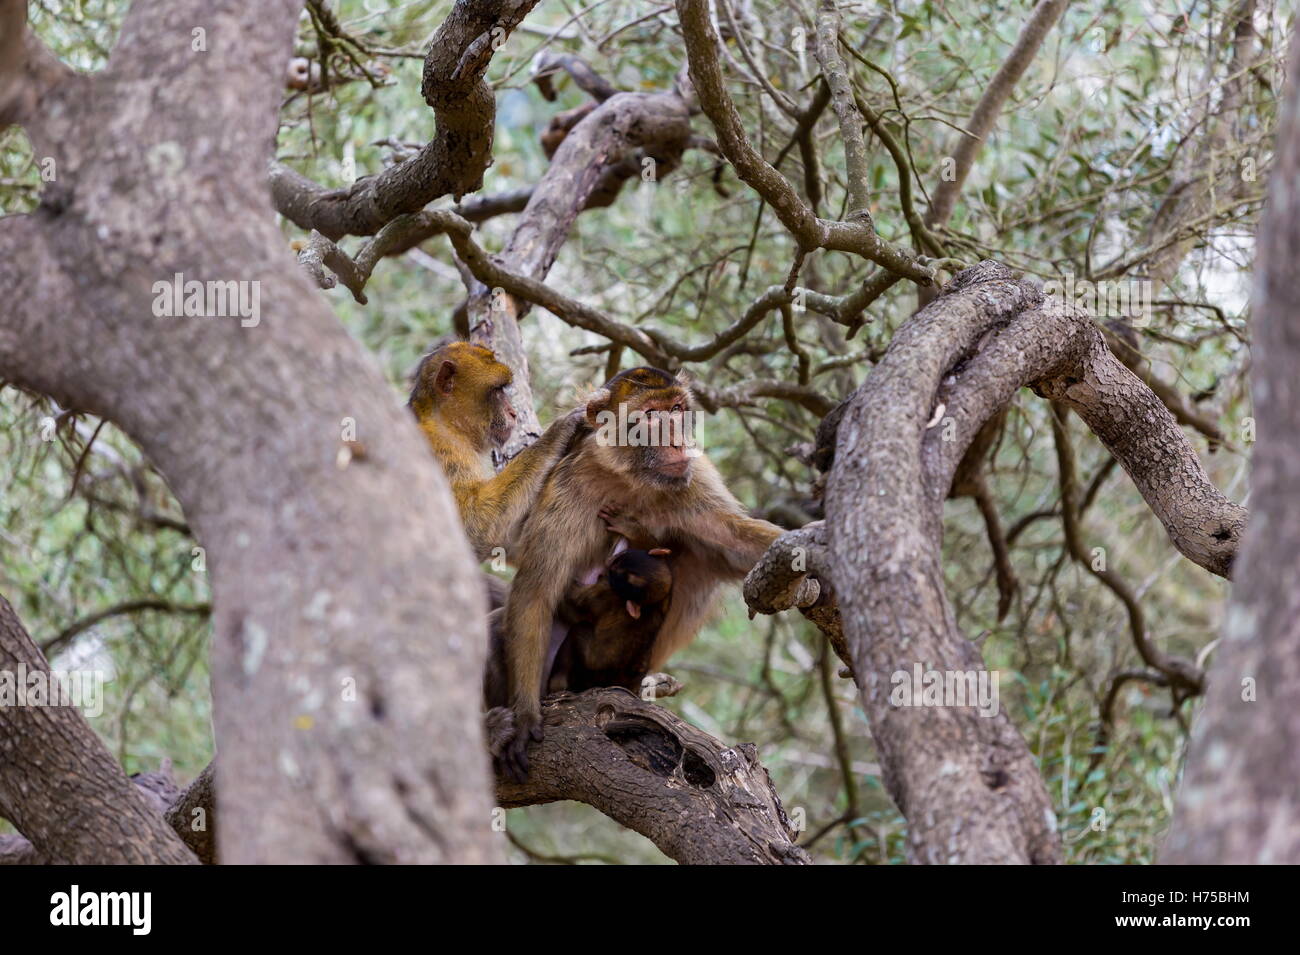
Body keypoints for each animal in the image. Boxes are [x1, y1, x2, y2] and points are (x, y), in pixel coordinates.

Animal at [408, 341, 582, 561]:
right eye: (498, 390)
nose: (513, 413)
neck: (447, 424)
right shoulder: (442, 450)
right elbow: (471, 526)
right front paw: (556, 433)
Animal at [497, 366, 788, 780]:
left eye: (677, 409)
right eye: (651, 415)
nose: (679, 441)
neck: (633, 478)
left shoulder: (695, 477)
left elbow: (734, 539)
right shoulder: (570, 485)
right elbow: (536, 590)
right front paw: (524, 716)